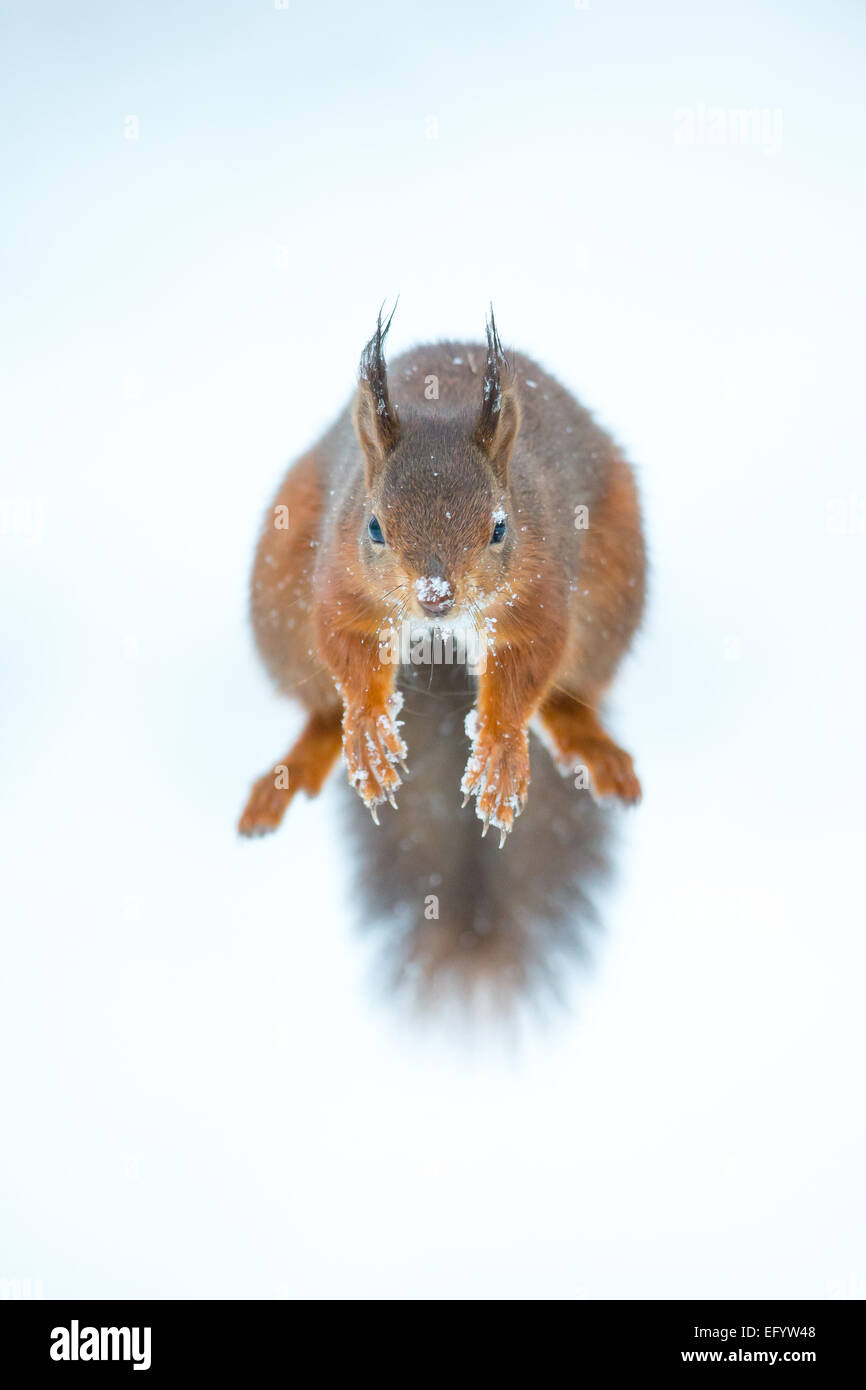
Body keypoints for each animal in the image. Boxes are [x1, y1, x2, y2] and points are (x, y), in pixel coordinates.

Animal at [239, 308, 645, 995]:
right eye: (374, 526)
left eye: (501, 527)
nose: (435, 595)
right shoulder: (341, 581)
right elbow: (346, 646)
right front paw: (370, 733)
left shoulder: (539, 593)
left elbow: (530, 662)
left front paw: (499, 755)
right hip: (281, 587)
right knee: (320, 706)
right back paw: (304, 764)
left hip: (609, 594)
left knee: (570, 691)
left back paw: (586, 740)